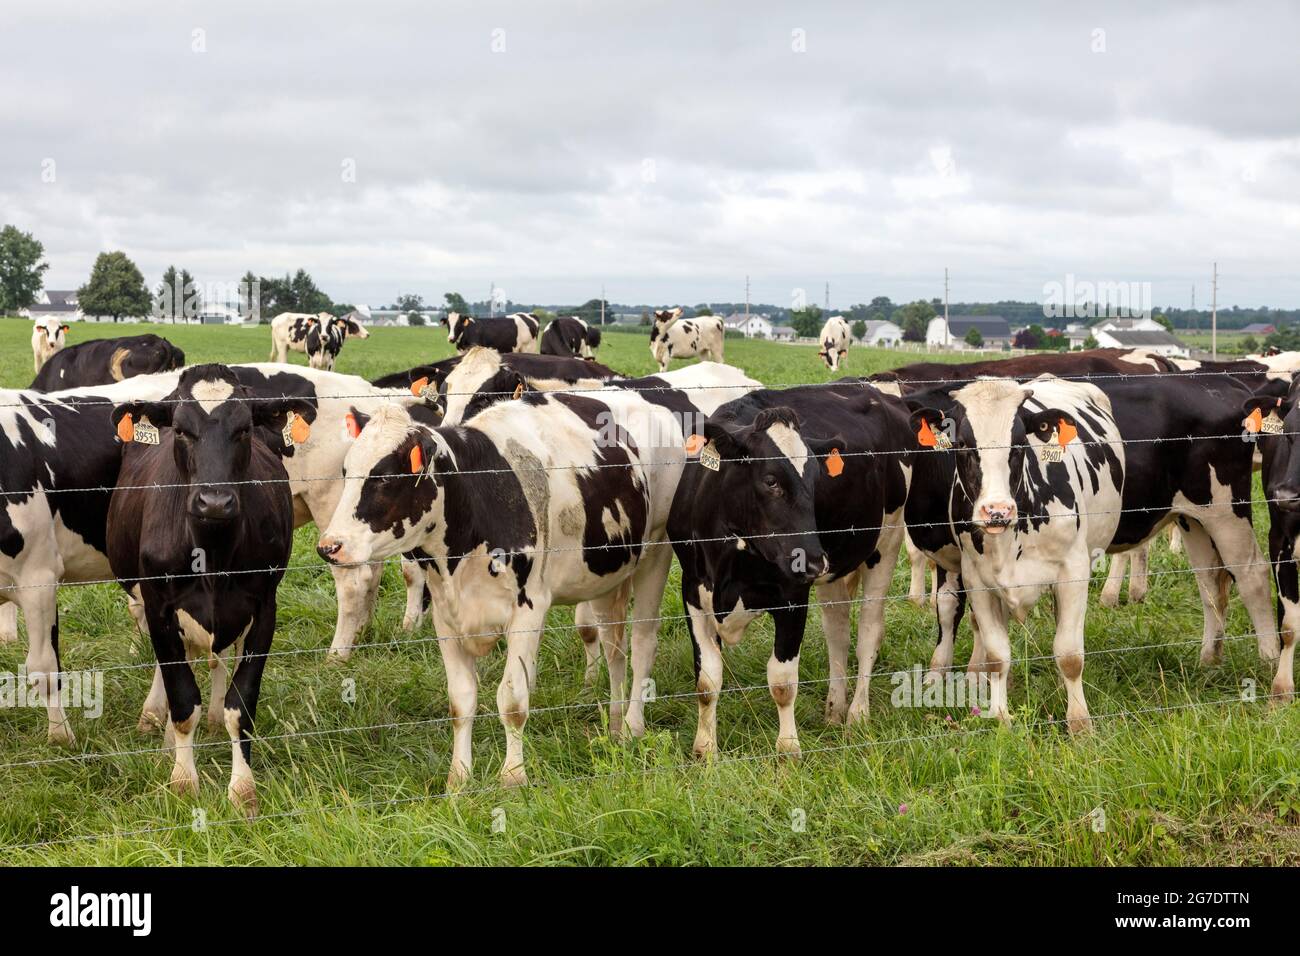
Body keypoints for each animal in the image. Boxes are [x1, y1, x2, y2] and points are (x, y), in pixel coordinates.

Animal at [107, 365, 312, 816]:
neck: (212, 551)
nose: (214, 501)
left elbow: (242, 704)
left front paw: (243, 789)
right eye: (182, 430)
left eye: (245, 429)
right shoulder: (159, 605)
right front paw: (183, 781)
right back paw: (158, 722)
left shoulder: (264, 607)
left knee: (219, 660)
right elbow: (183, 700)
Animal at [668, 382, 912, 757]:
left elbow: (783, 683)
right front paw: (705, 749)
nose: (812, 560)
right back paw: (834, 710)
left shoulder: (793, 595)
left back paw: (857, 714)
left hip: (886, 540)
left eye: (816, 479)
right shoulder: (693, 590)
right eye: (771, 481)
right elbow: (707, 680)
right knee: (838, 633)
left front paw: (788, 751)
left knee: (869, 632)